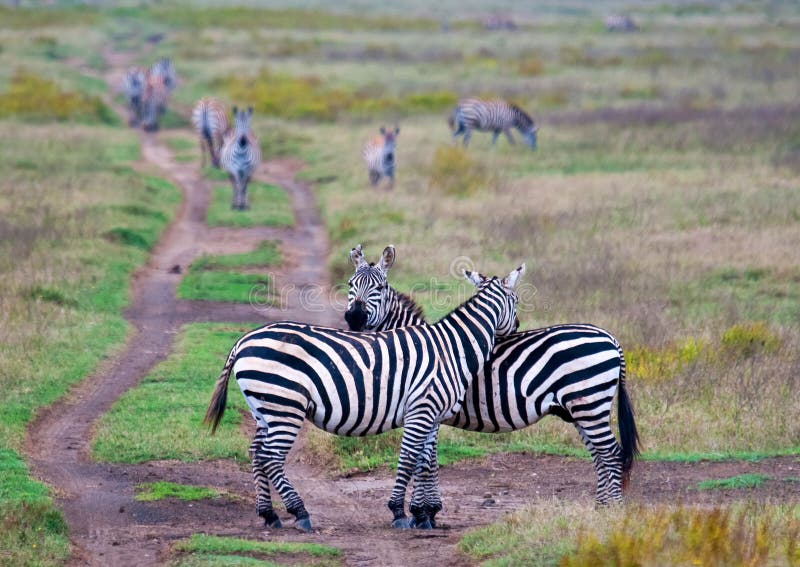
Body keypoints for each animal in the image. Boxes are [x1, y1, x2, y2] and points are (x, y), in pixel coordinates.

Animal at [204, 263, 524, 531]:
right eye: (516, 301)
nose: (518, 325)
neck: (452, 347)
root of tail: (244, 340)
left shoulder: (431, 415)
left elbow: (424, 460)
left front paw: (423, 515)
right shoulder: (422, 409)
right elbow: (409, 458)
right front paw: (400, 513)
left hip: (264, 408)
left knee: (256, 453)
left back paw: (269, 514)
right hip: (285, 406)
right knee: (270, 457)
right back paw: (300, 513)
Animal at [344, 245, 640, 524]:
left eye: (380, 288)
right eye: (350, 285)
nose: (354, 318)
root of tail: (610, 338)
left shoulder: (427, 407)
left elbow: (425, 461)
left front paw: (425, 512)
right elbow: (427, 458)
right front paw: (428, 512)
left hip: (590, 403)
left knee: (611, 453)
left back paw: (613, 511)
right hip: (581, 409)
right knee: (600, 455)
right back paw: (601, 508)